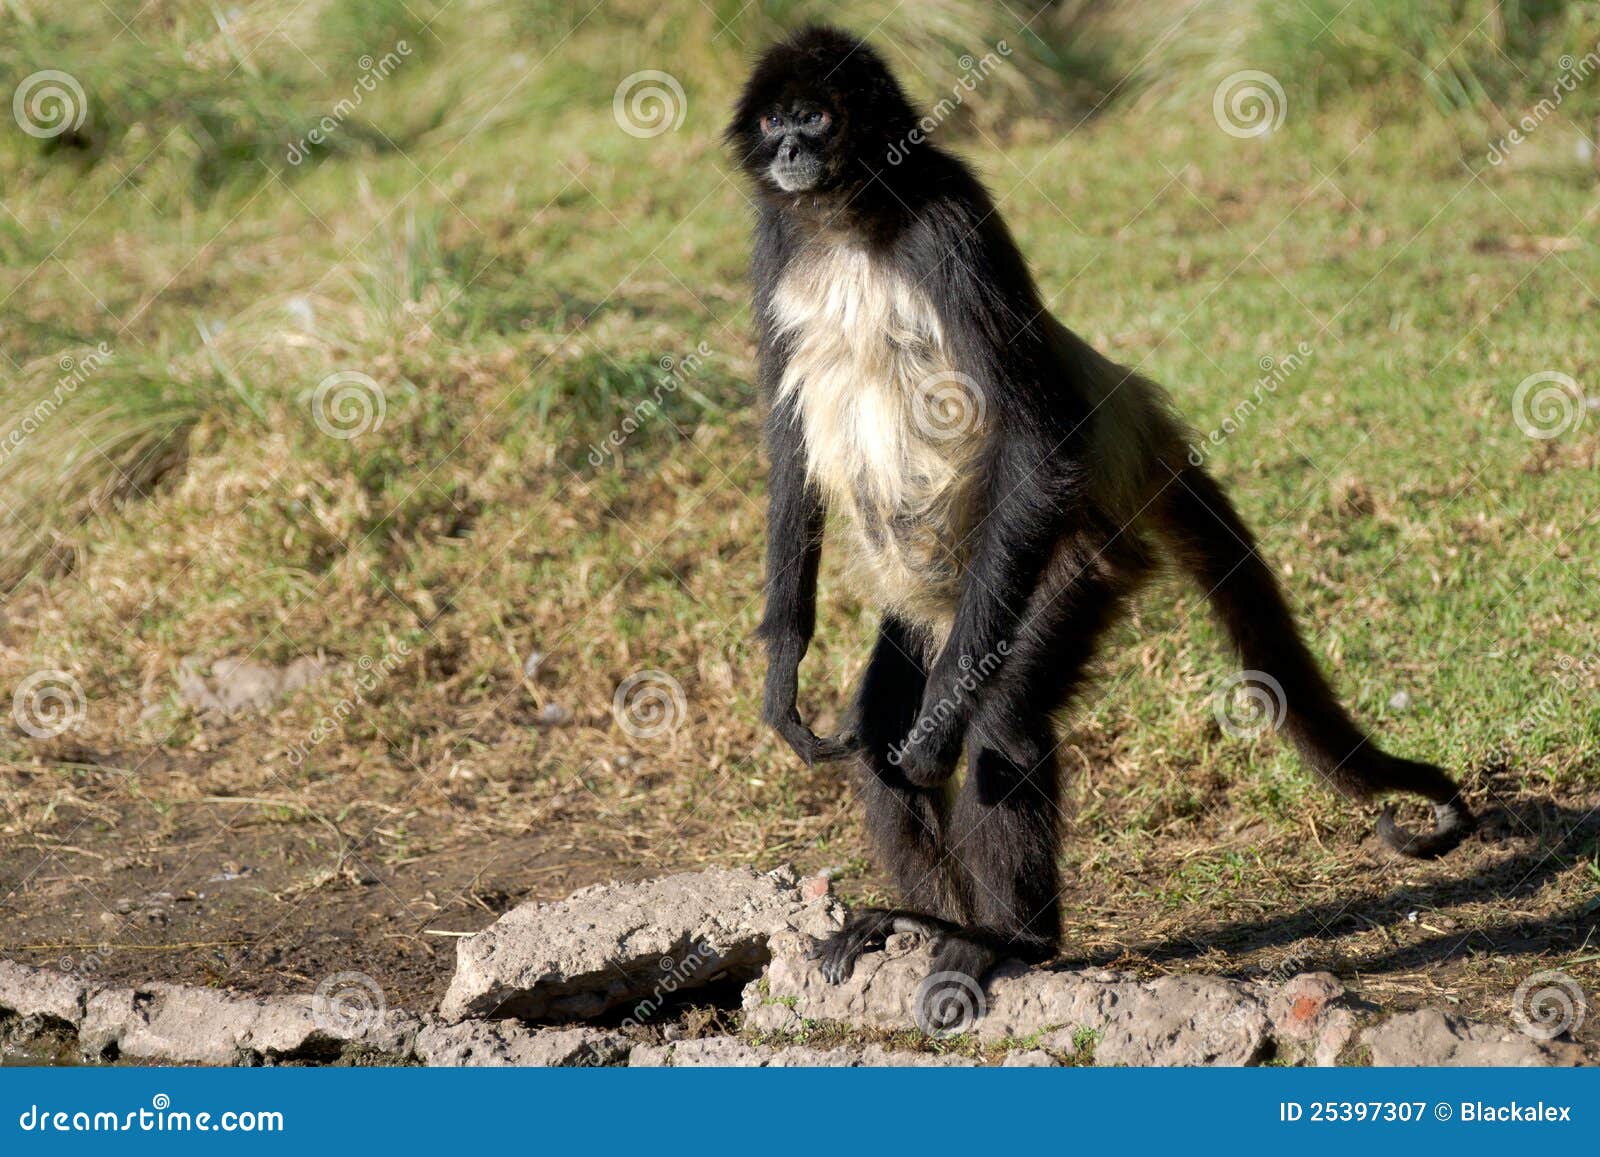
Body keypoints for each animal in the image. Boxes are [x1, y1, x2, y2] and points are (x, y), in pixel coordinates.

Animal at [726, 25, 1474, 1009]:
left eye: (815, 116)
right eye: (774, 121)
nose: (789, 152)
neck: (850, 218)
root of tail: (1136, 429)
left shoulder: (953, 220)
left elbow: (1040, 445)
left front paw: (938, 742)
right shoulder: (777, 238)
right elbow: (788, 445)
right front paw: (783, 671)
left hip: (1069, 559)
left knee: (1000, 724)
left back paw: (1007, 938)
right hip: (945, 607)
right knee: (877, 734)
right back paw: (920, 919)